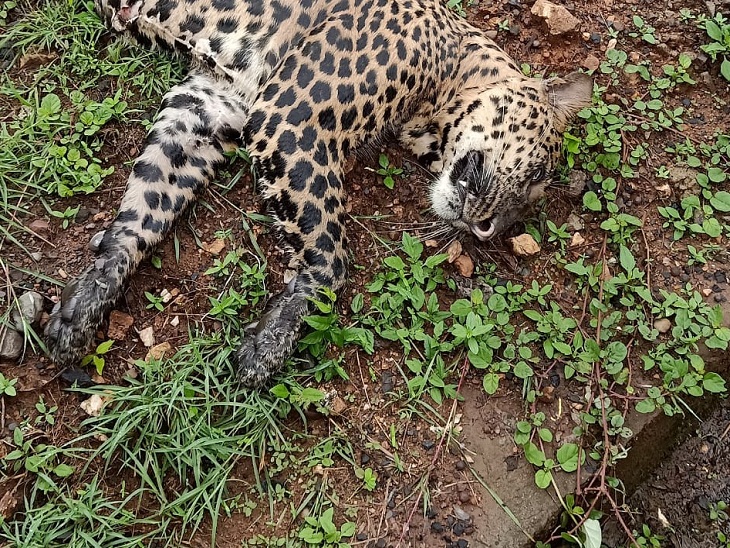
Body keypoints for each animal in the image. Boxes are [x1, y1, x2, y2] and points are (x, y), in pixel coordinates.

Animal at [44, 0, 593, 387]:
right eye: (535, 174)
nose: (486, 229)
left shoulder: (206, 108)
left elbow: (145, 209)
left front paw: (83, 305)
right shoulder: (293, 115)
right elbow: (330, 255)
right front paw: (272, 342)